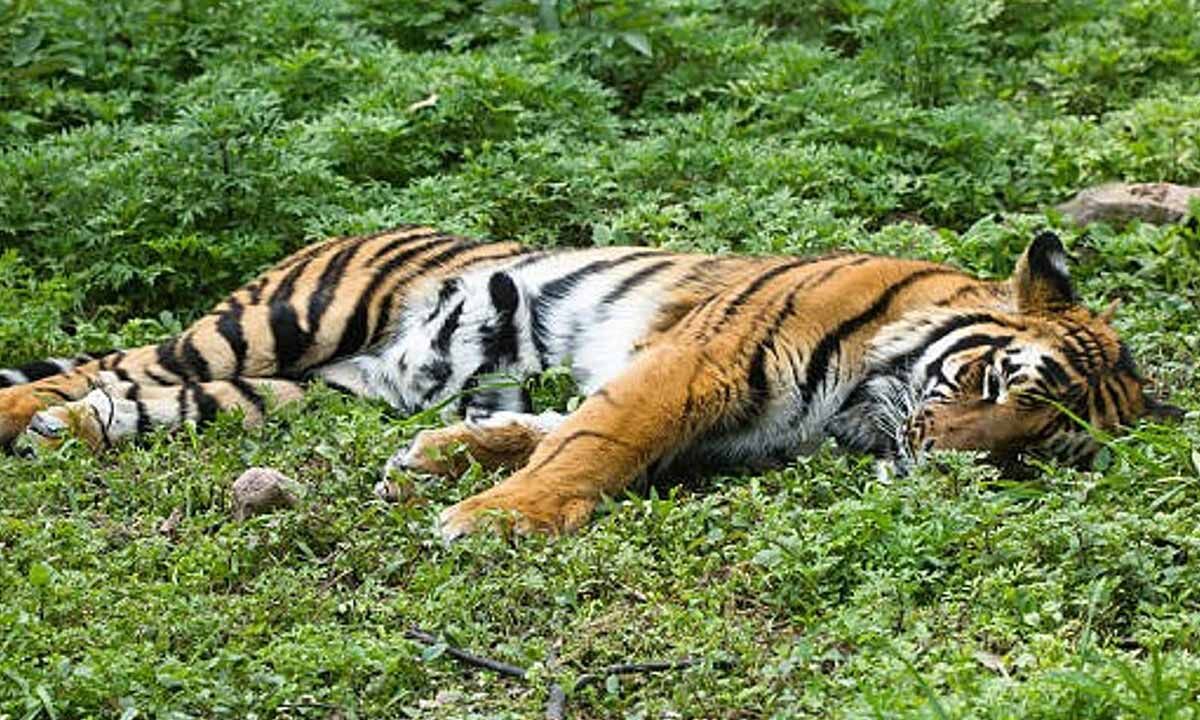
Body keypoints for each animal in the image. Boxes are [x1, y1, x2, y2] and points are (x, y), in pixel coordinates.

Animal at [0, 226, 1183, 538]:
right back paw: (21, 416)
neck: (866, 407)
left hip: (296, 393)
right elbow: (595, 441)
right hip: (277, 324)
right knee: (112, 361)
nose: (946, 465)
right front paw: (493, 519)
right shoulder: (697, 364)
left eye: (1034, 456)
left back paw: (67, 436)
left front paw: (442, 466)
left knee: (135, 397)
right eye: (994, 379)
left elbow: (552, 425)